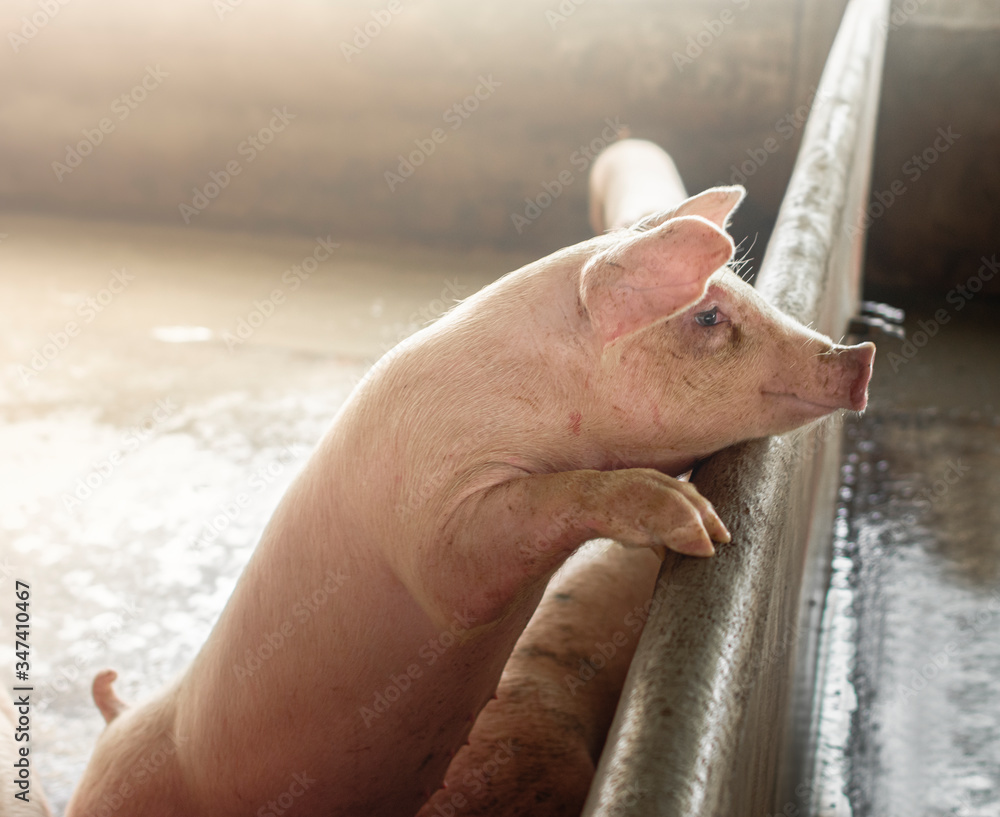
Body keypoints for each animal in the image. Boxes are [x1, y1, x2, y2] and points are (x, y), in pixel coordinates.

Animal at [67, 154, 874, 815]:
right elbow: (490, 546)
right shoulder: (435, 528)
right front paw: (696, 523)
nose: (858, 354)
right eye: (707, 315)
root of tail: (116, 719)